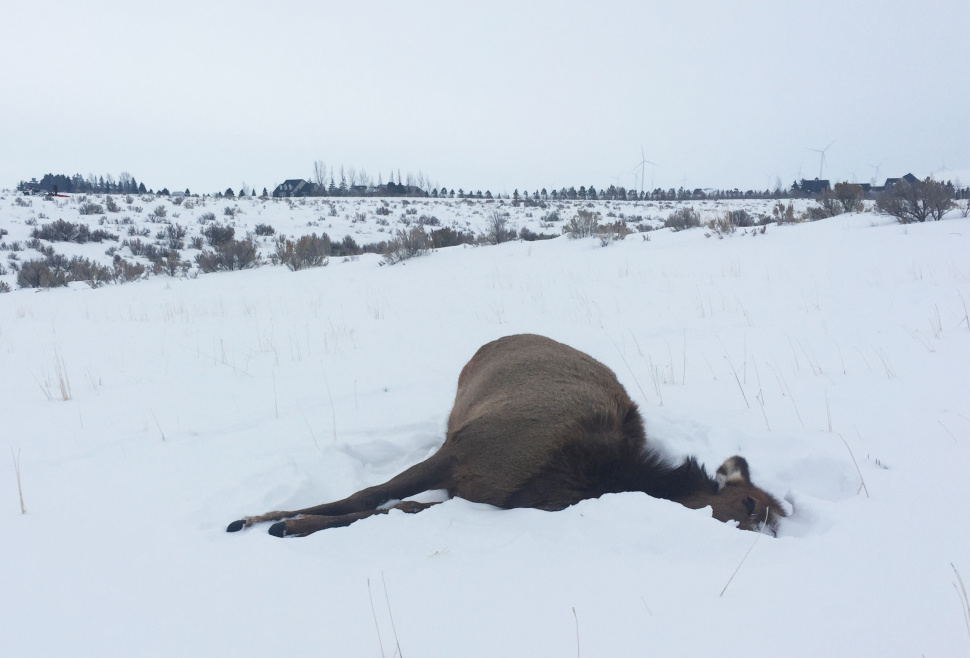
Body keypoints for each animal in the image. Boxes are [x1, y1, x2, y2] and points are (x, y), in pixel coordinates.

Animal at [227, 334, 786, 538]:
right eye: (748, 504)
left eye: (776, 516)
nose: (771, 535)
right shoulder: (459, 453)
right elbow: (364, 496)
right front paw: (268, 520)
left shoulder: (479, 492)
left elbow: (390, 510)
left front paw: (289, 525)